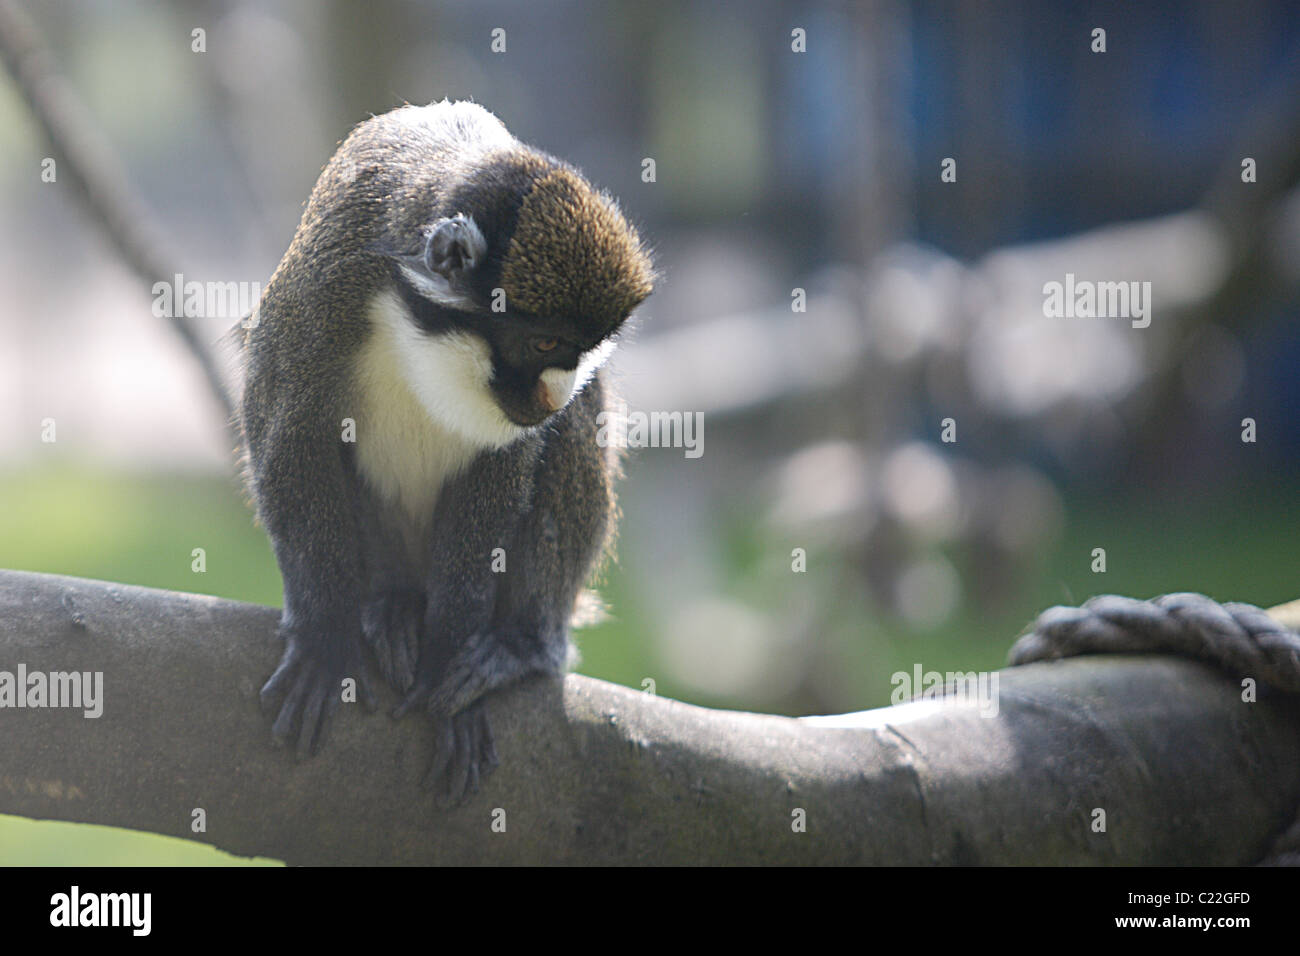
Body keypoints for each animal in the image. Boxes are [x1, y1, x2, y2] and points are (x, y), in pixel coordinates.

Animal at [239, 100, 654, 805]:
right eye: (545, 342)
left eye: (583, 348)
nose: (555, 389)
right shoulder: (320, 296)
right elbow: (289, 434)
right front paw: (325, 637)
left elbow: (504, 470)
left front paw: (451, 662)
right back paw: (391, 607)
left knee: (575, 426)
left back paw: (521, 644)